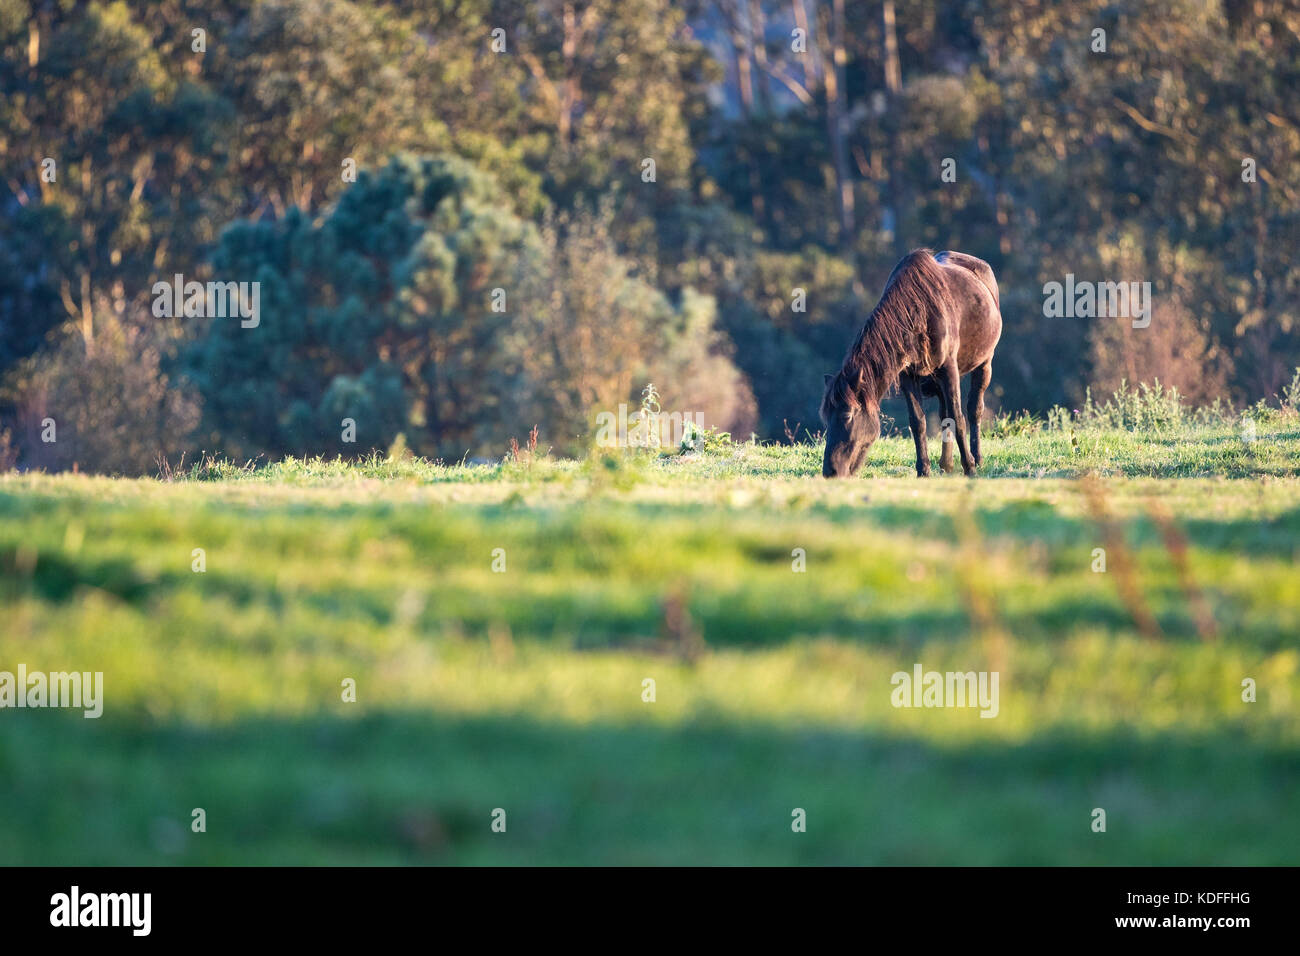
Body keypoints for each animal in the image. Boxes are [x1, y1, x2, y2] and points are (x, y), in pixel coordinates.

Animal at [820, 249, 1002, 478]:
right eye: (826, 417)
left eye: (847, 414)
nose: (831, 471)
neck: (918, 312)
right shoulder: (908, 375)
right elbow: (918, 421)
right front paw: (923, 470)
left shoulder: (948, 369)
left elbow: (958, 417)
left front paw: (969, 467)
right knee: (944, 414)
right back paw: (946, 463)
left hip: (984, 363)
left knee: (973, 409)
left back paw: (976, 458)